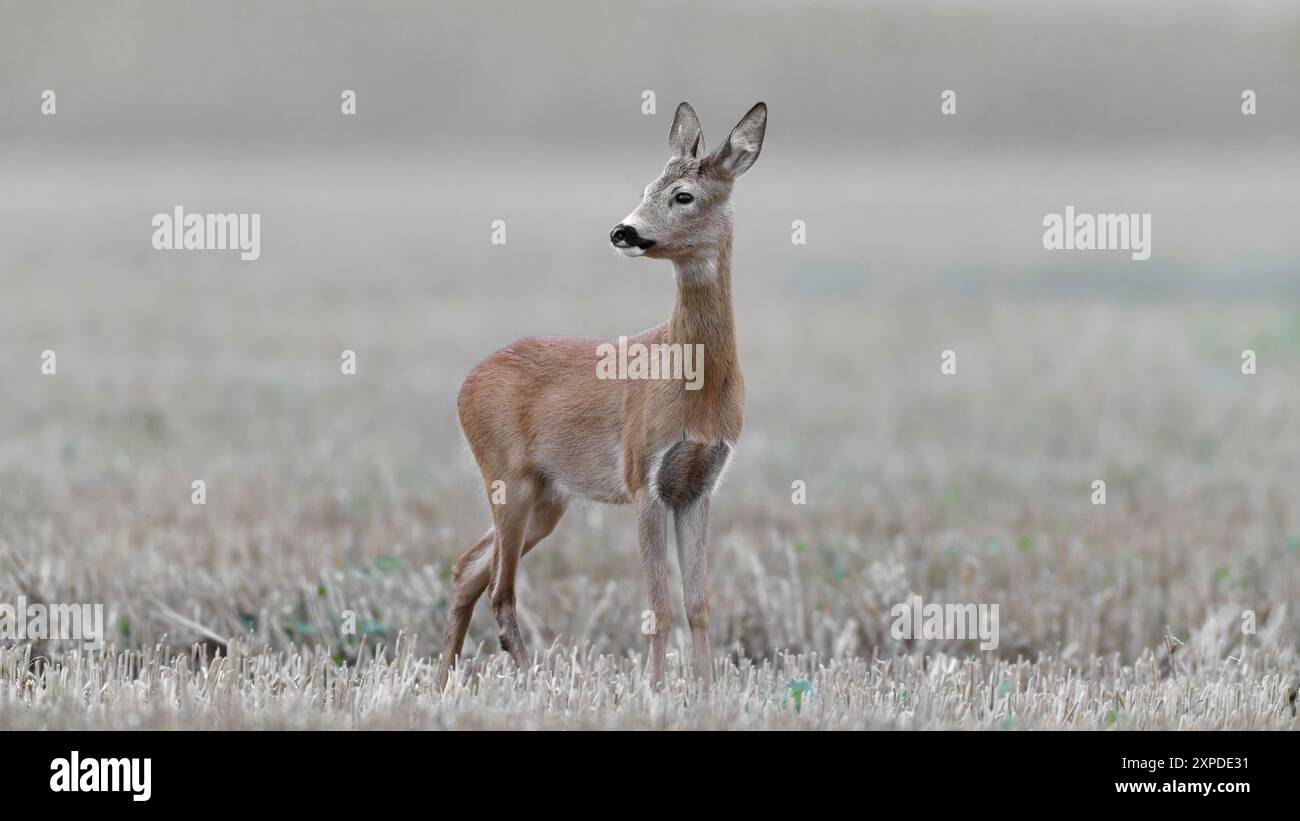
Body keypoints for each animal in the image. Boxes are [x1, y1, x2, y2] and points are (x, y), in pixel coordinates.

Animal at [434, 101, 767, 694]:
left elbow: (699, 602)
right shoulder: (642, 476)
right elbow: (658, 604)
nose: (623, 231)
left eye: (683, 195)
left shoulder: (699, 486)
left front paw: (706, 691)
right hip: (507, 476)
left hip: (549, 498)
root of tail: (466, 383)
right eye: (646, 186)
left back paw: (441, 682)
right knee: (500, 588)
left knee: (468, 569)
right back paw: (532, 680)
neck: (693, 382)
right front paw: (656, 691)